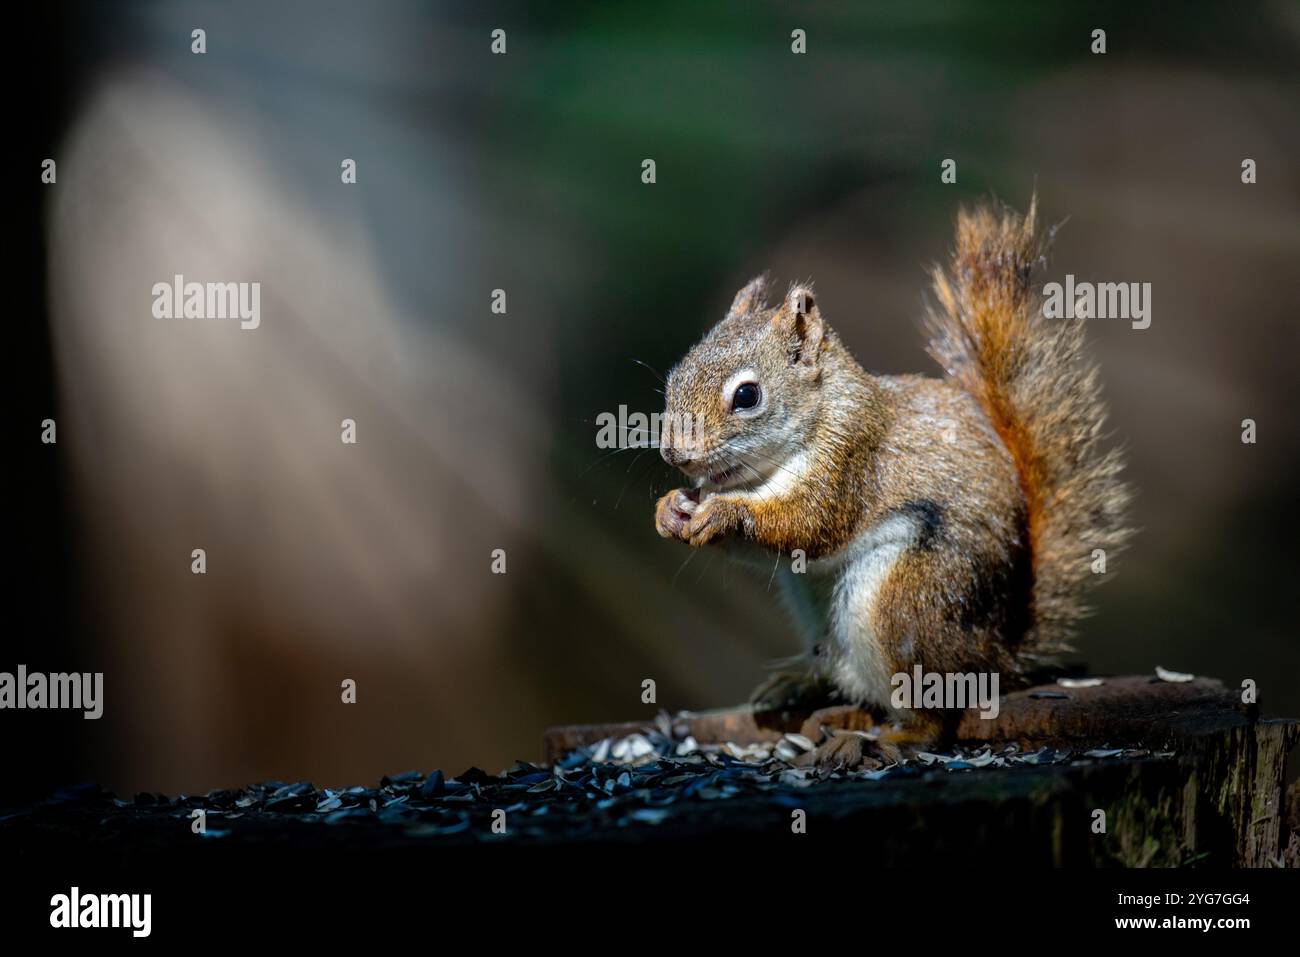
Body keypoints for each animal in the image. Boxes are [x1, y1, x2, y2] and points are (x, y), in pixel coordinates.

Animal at [653, 197, 1131, 769]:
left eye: (747, 396)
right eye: (675, 376)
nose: (675, 453)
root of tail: (994, 655)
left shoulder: (852, 459)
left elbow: (810, 525)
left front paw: (724, 512)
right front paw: (670, 510)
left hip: (905, 606)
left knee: (931, 714)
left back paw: (884, 739)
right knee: (853, 684)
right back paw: (804, 689)